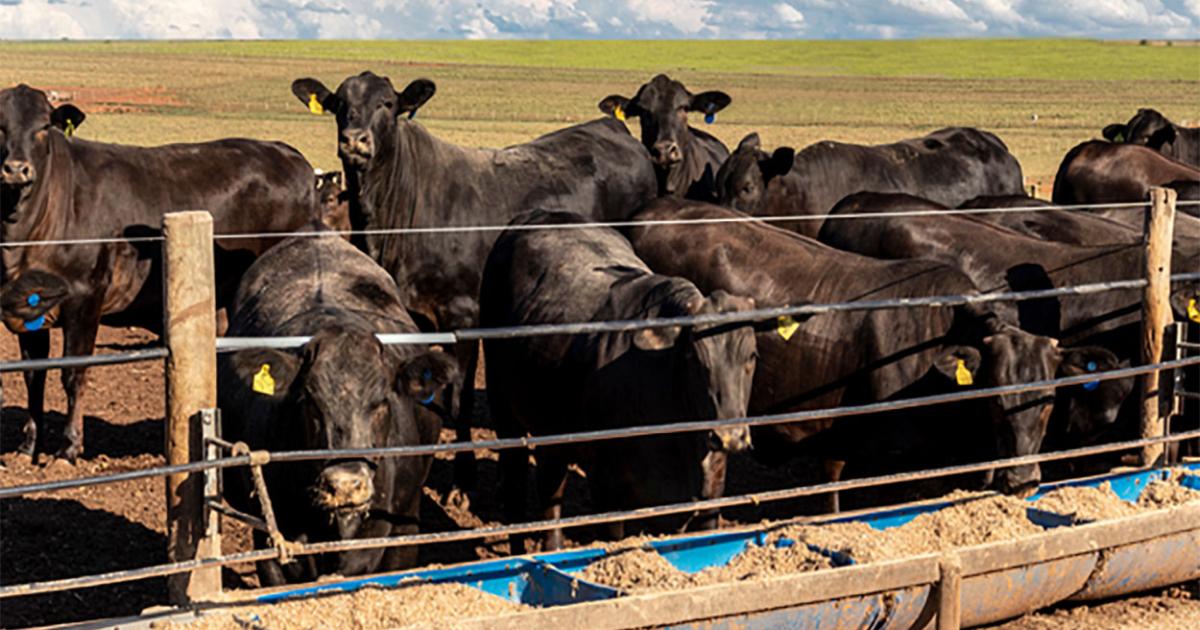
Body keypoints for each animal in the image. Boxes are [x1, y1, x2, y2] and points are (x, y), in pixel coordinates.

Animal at [0, 84, 318, 461]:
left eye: (44, 127)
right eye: (0, 125)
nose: (16, 169)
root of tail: (286, 153)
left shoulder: (85, 299)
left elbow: (73, 374)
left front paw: (69, 447)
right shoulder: (29, 309)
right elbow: (33, 377)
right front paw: (28, 446)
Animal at [290, 72, 657, 490]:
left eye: (387, 103)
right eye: (338, 103)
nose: (354, 140)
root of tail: (612, 128)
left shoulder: (462, 314)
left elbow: (459, 398)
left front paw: (463, 478)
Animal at [481, 210, 757, 551]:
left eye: (752, 357)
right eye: (694, 358)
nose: (731, 436)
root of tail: (539, 214)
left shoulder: (713, 489)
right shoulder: (607, 487)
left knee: (550, 486)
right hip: (503, 408)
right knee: (516, 485)